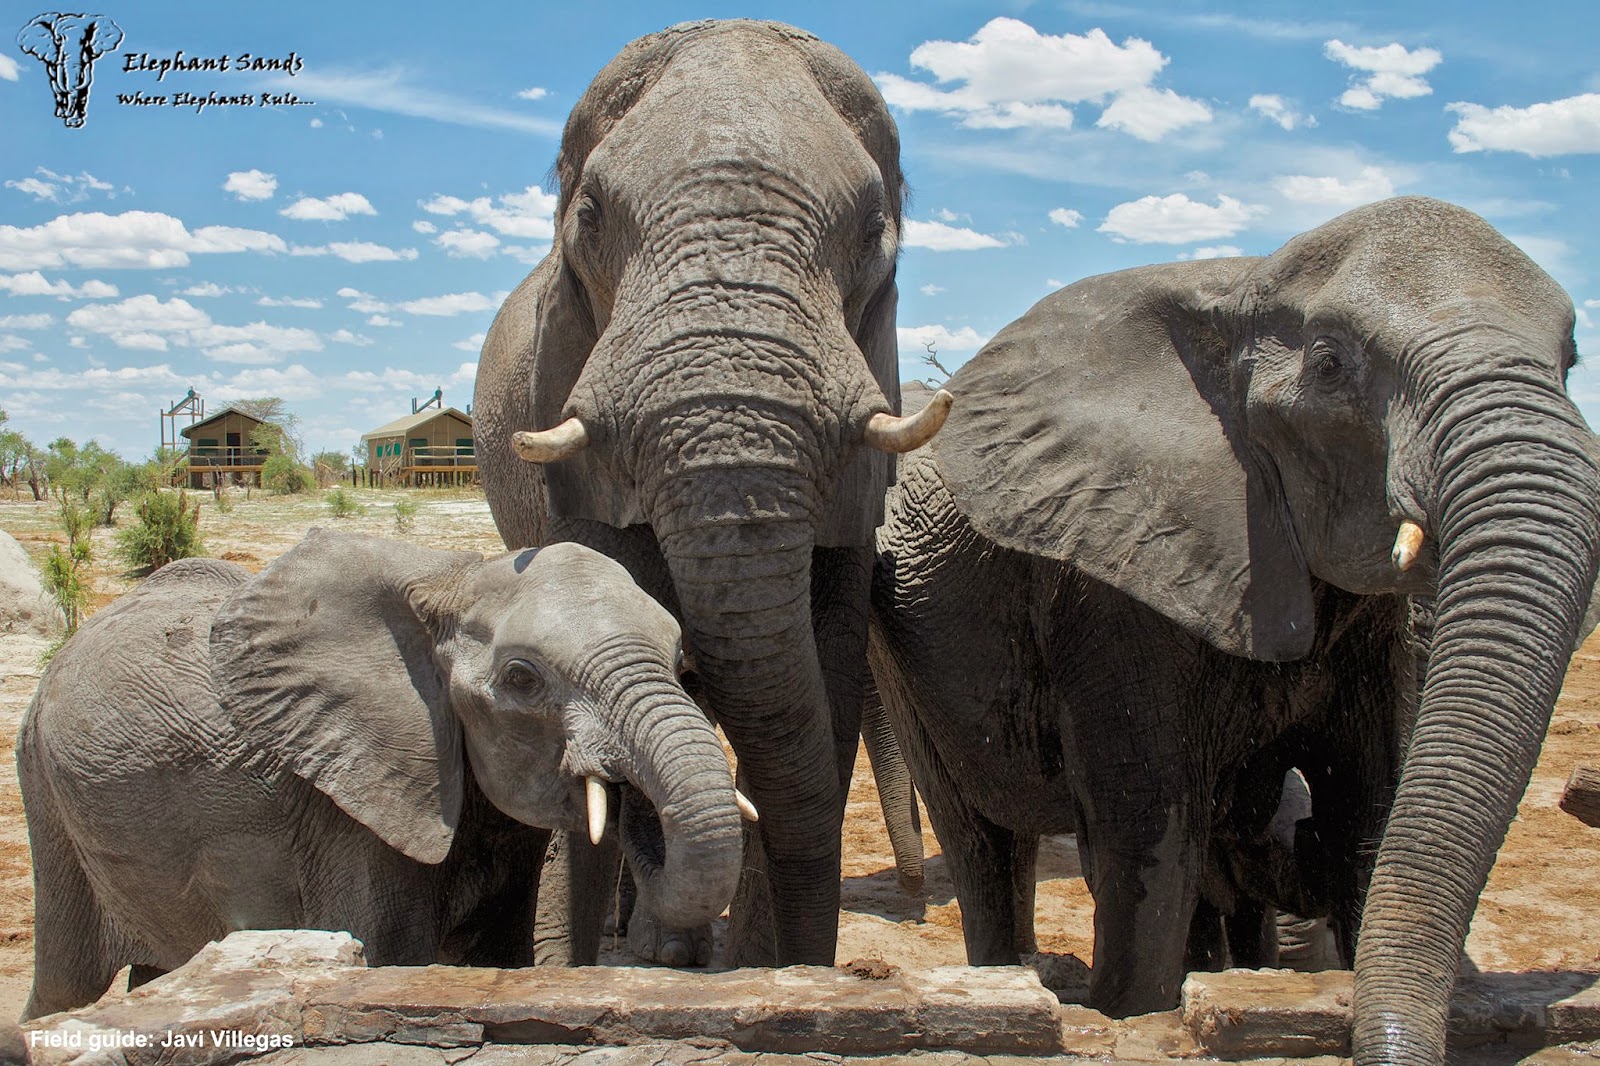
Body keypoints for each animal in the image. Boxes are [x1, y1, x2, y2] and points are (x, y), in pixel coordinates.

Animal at [17, 532, 746, 1019]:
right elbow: (385, 949)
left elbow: (498, 954)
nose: (626, 792)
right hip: (43, 791)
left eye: (681, 665)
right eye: (521, 679)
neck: (456, 576)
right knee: (64, 985)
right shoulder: (345, 802)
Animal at [867, 197, 1600, 1066]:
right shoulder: (1112, 585)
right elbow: (1149, 839)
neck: (1247, 287)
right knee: (983, 841)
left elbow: (1370, 812)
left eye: (1571, 360)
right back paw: (1003, 972)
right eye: (1330, 365)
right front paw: (1134, 1012)